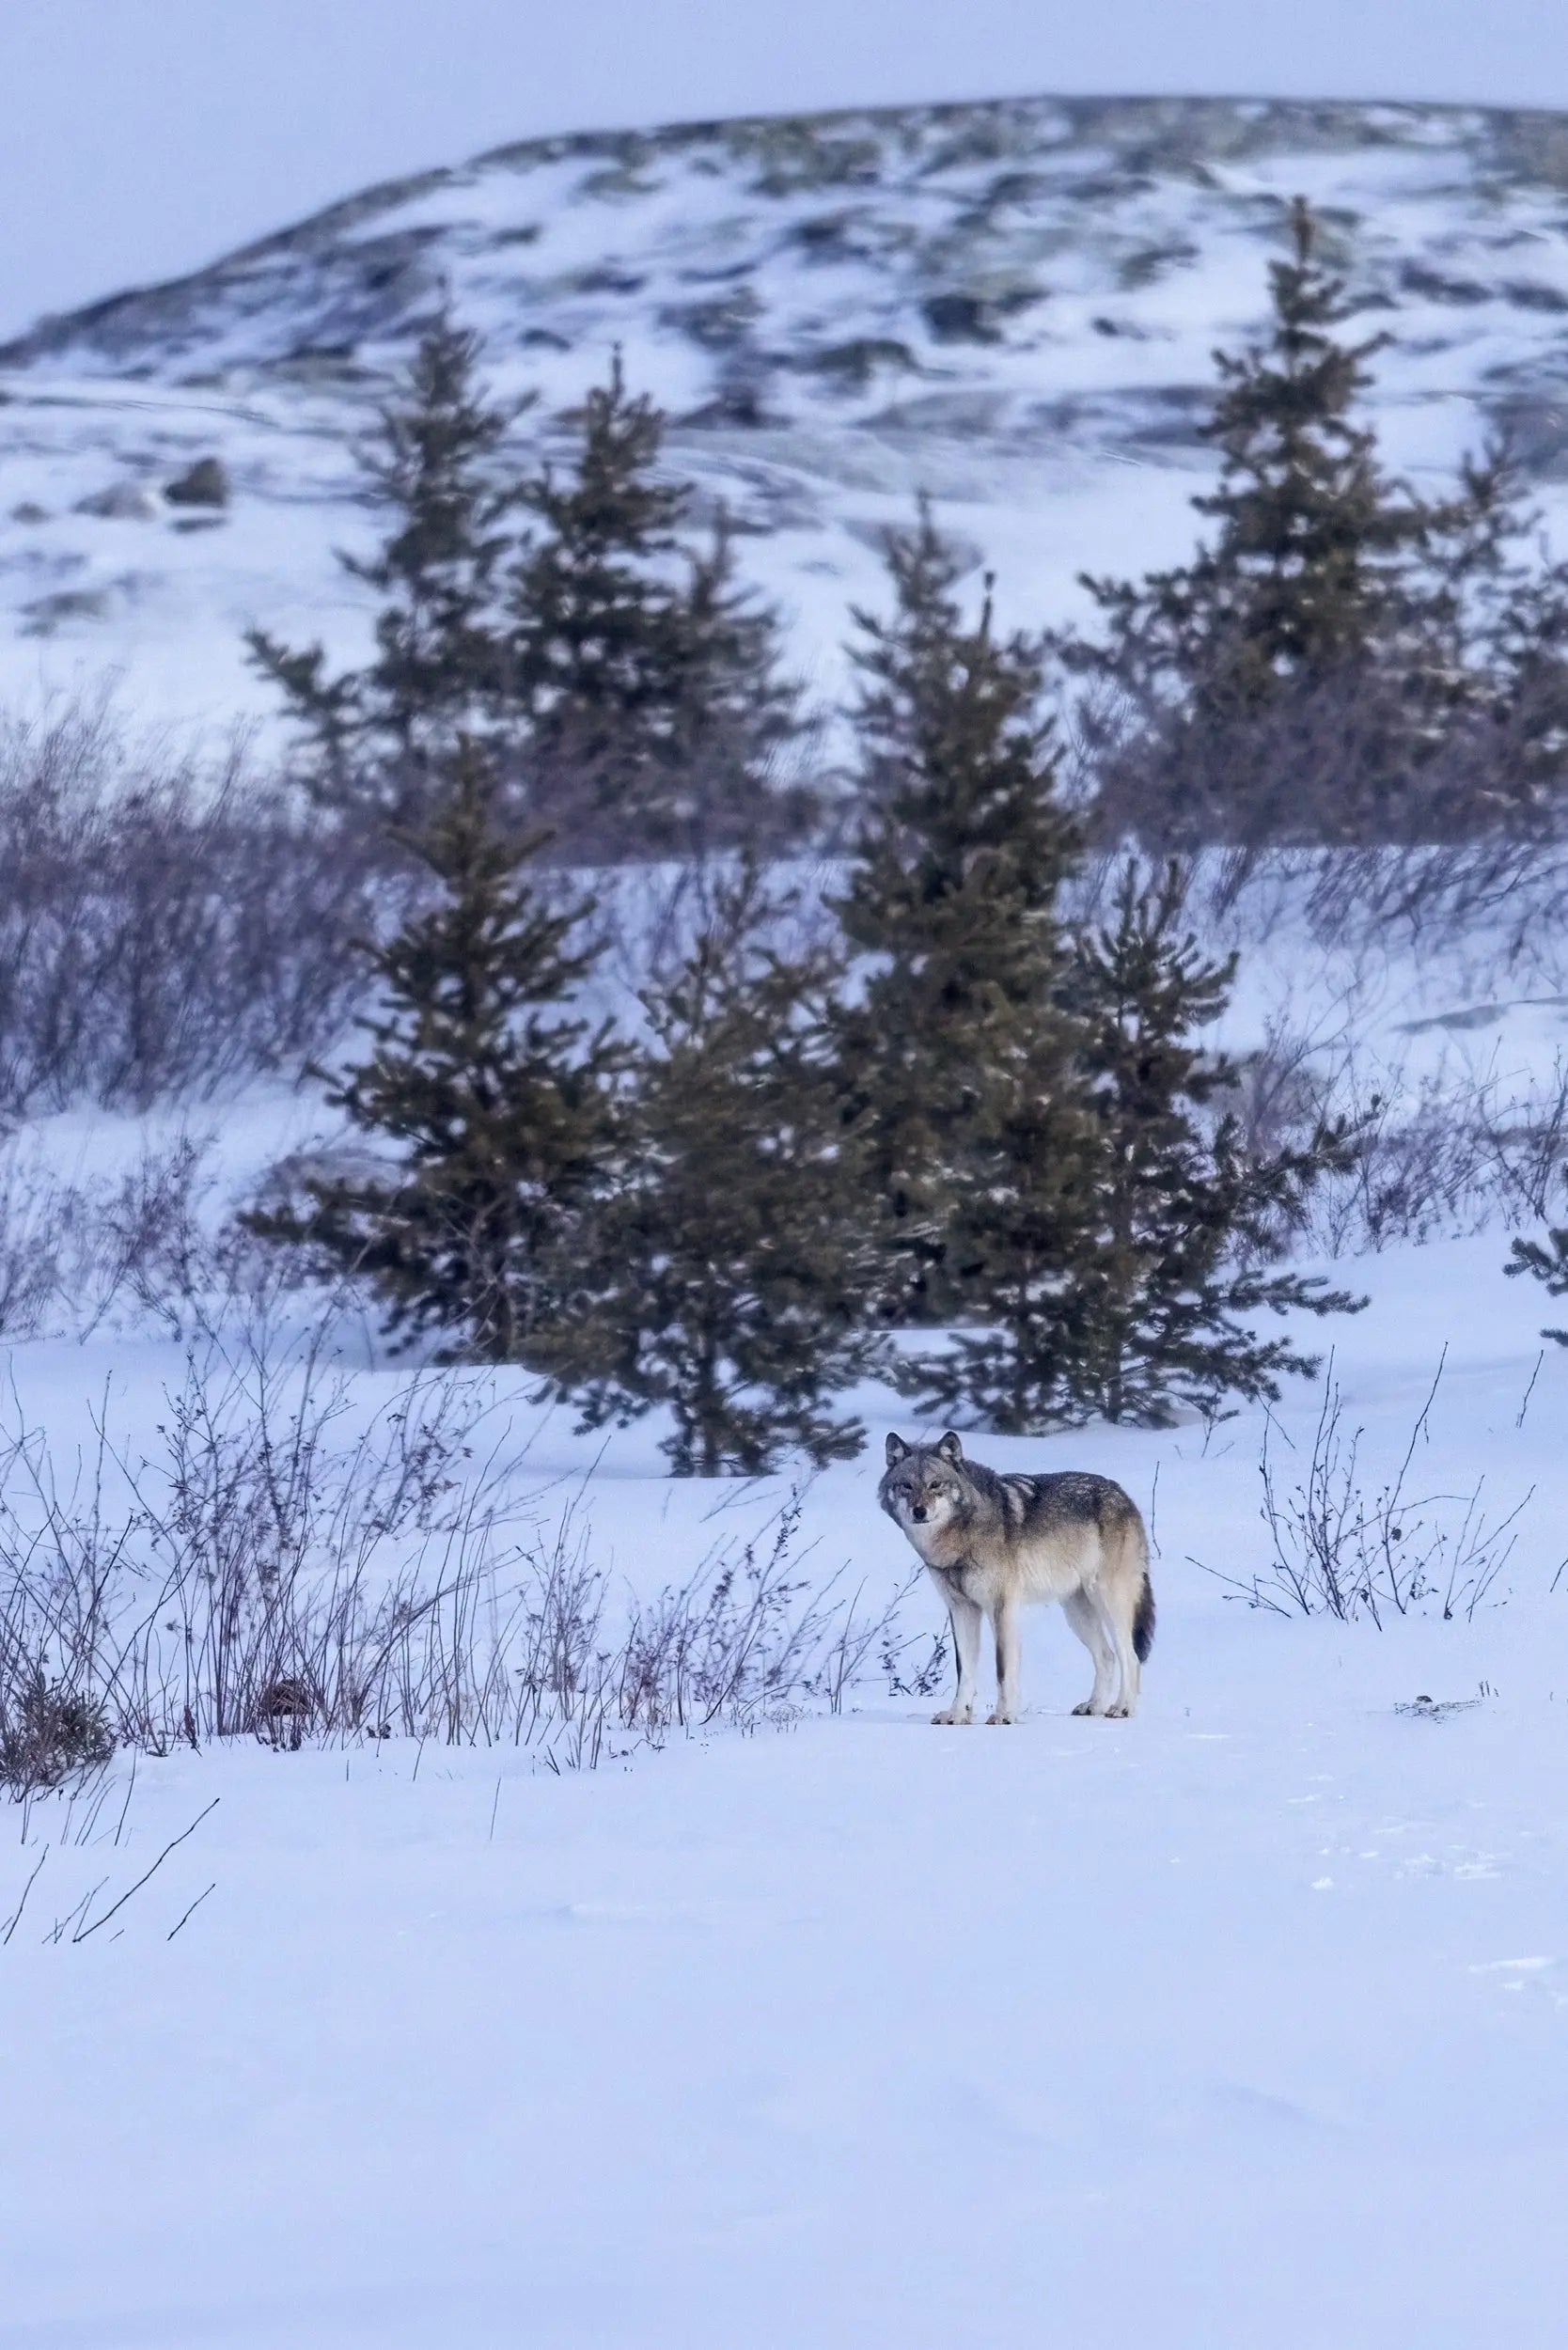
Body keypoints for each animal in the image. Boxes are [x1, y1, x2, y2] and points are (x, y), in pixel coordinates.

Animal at [879, 1432, 1154, 1724]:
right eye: (906, 1486)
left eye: (935, 1484)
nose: (919, 1511)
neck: (959, 1538)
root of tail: (1121, 1493)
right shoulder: (961, 1609)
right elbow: (964, 1670)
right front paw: (957, 1715)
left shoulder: (1002, 1607)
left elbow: (1002, 1669)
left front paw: (1004, 1716)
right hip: (1076, 1612)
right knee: (1106, 1656)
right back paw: (1094, 1706)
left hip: (1107, 1601)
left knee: (1131, 1657)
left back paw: (1122, 1708)